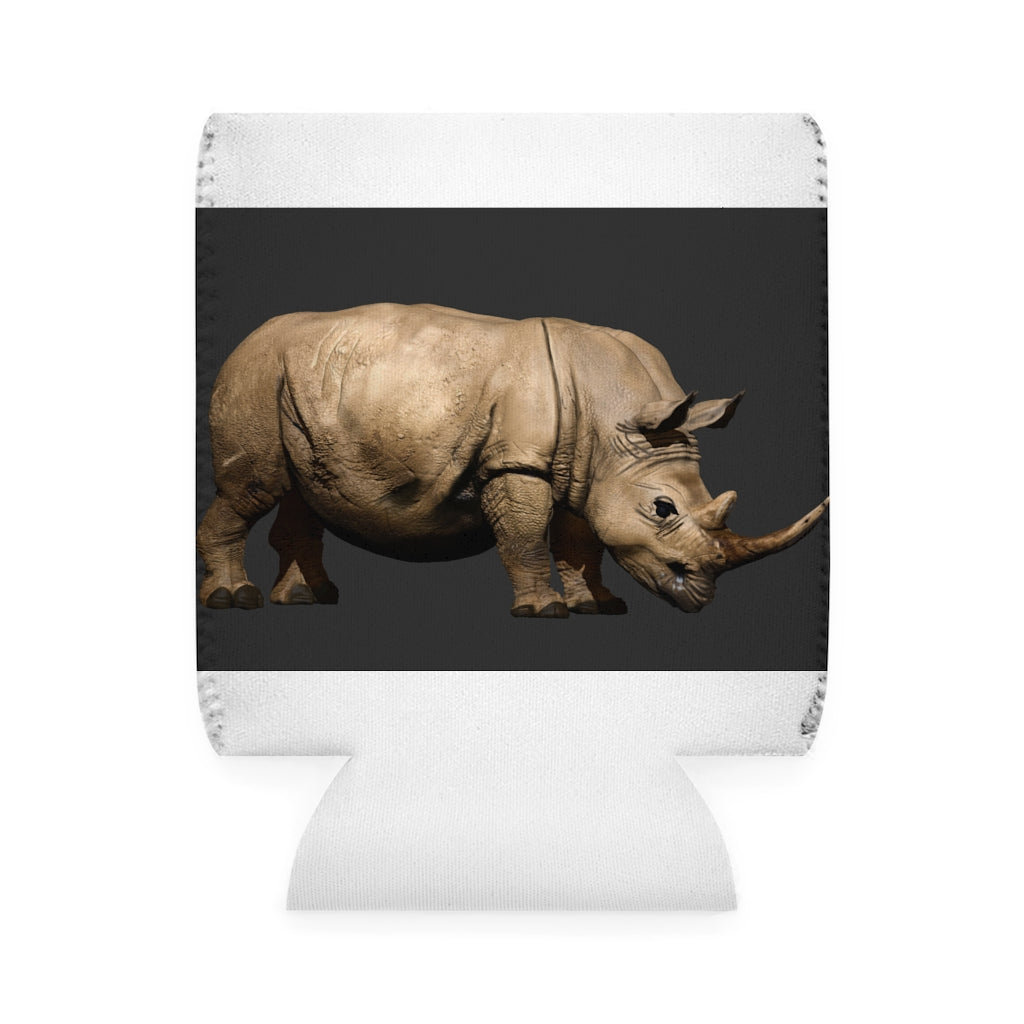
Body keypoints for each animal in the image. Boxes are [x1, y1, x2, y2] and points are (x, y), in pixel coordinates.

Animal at [198, 303, 827, 616]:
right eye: (663, 509)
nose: (700, 597)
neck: (618, 416)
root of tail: (249, 338)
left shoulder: (584, 469)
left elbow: (579, 540)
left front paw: (599, 606)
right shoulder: (517, 461)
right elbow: (525, 536)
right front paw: (545, 610)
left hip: (307, 382)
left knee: (299, 491)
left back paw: (311, 599)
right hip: (255, 374)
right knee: (253, 487)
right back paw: (236, 600)